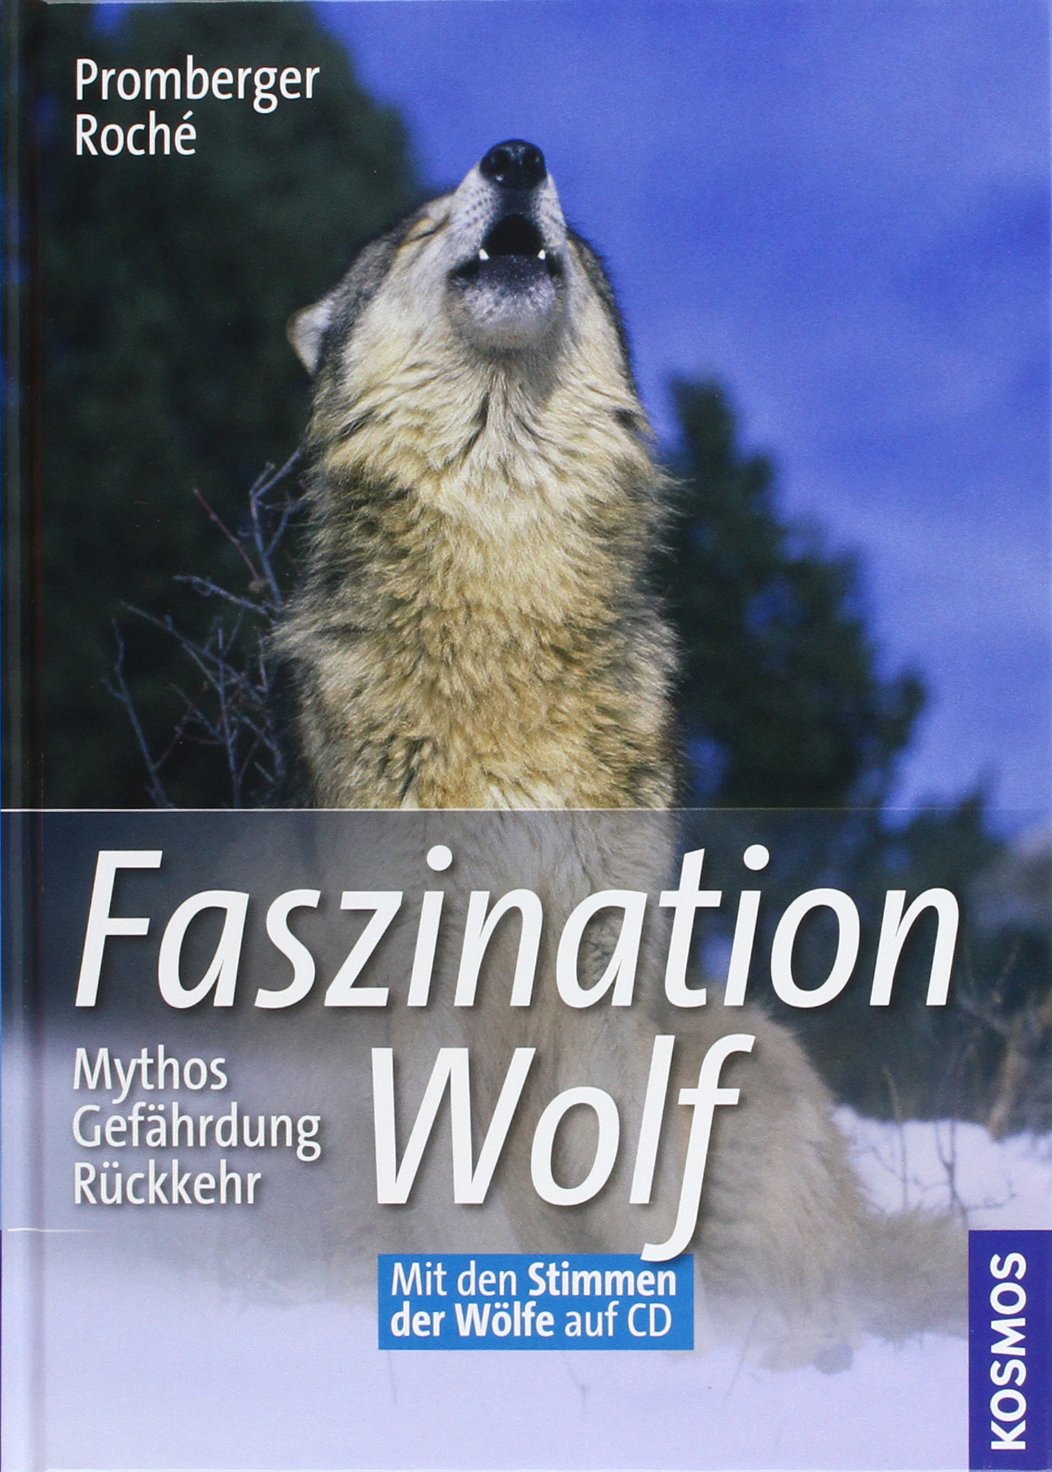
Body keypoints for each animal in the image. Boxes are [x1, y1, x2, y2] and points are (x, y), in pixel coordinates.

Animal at [275, 140, 964, 1368]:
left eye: (576, 239)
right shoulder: (409, 983)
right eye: (421, 229)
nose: (515, 157)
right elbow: (447, 1191)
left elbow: (622, 1185)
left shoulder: (604, 970)